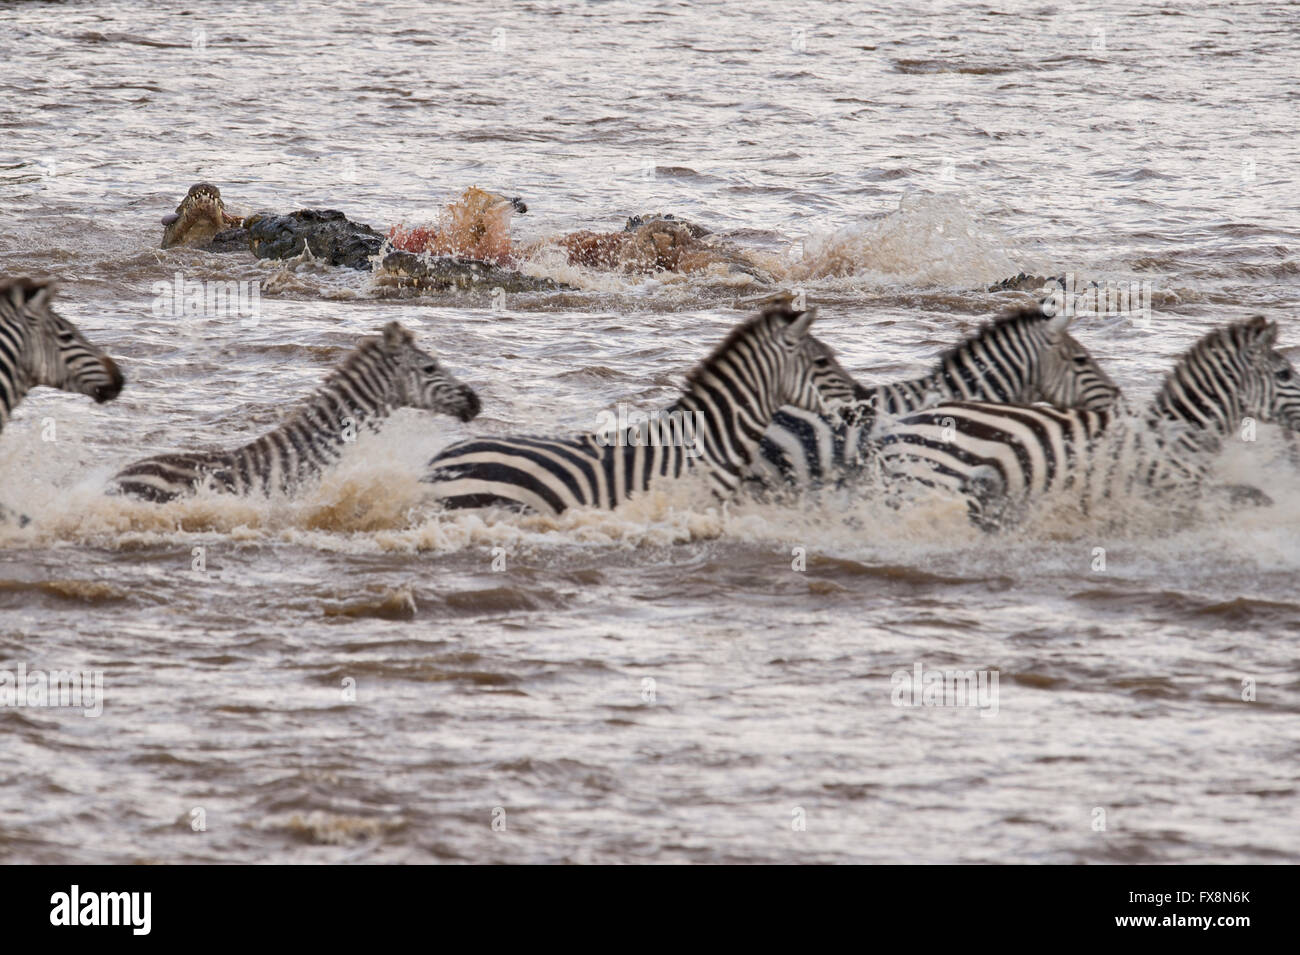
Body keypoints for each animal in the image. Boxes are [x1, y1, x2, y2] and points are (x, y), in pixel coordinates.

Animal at [872, 317, 1300, 529]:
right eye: (1284, 375)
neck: (1177, 432)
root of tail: (902, 424)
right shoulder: (1170, 496)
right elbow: (1245, 498)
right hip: (929, 482)